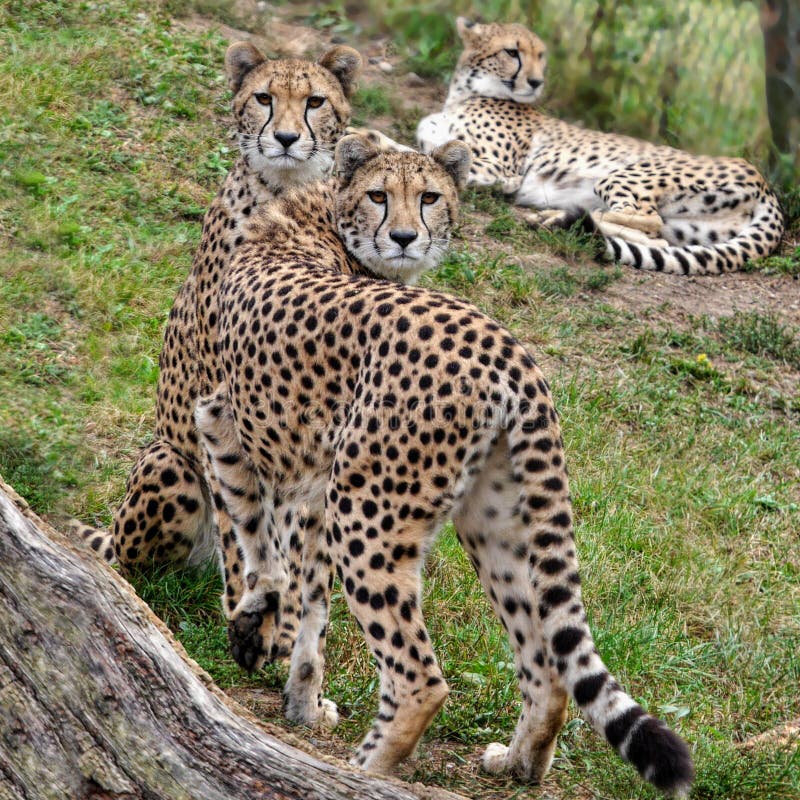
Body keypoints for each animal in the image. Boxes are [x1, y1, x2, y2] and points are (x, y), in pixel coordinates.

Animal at [193, 132, 695, 796]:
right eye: (380, 196)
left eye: (428, 197)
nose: (405, 237)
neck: (316, 215)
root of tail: (508, 349)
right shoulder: (310, 484)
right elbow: (309, 602)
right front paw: (303, 700)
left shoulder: (225, 428)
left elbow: (252, 540)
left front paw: (255, 624)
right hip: (495, 520)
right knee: (547, 665)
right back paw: (517, 764)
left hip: (369, 514)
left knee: (421, 679)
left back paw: (361, 769)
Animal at [416, 17, 785, 275]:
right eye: (512, 52)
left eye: (540, 56)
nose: (536, 82)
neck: (466, 93)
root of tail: (766, 184)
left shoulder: (499, 170)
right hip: (690, 228)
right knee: (657, 236)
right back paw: (558, 219)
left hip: (621, 176)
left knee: (647, 221)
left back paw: (558, 217)